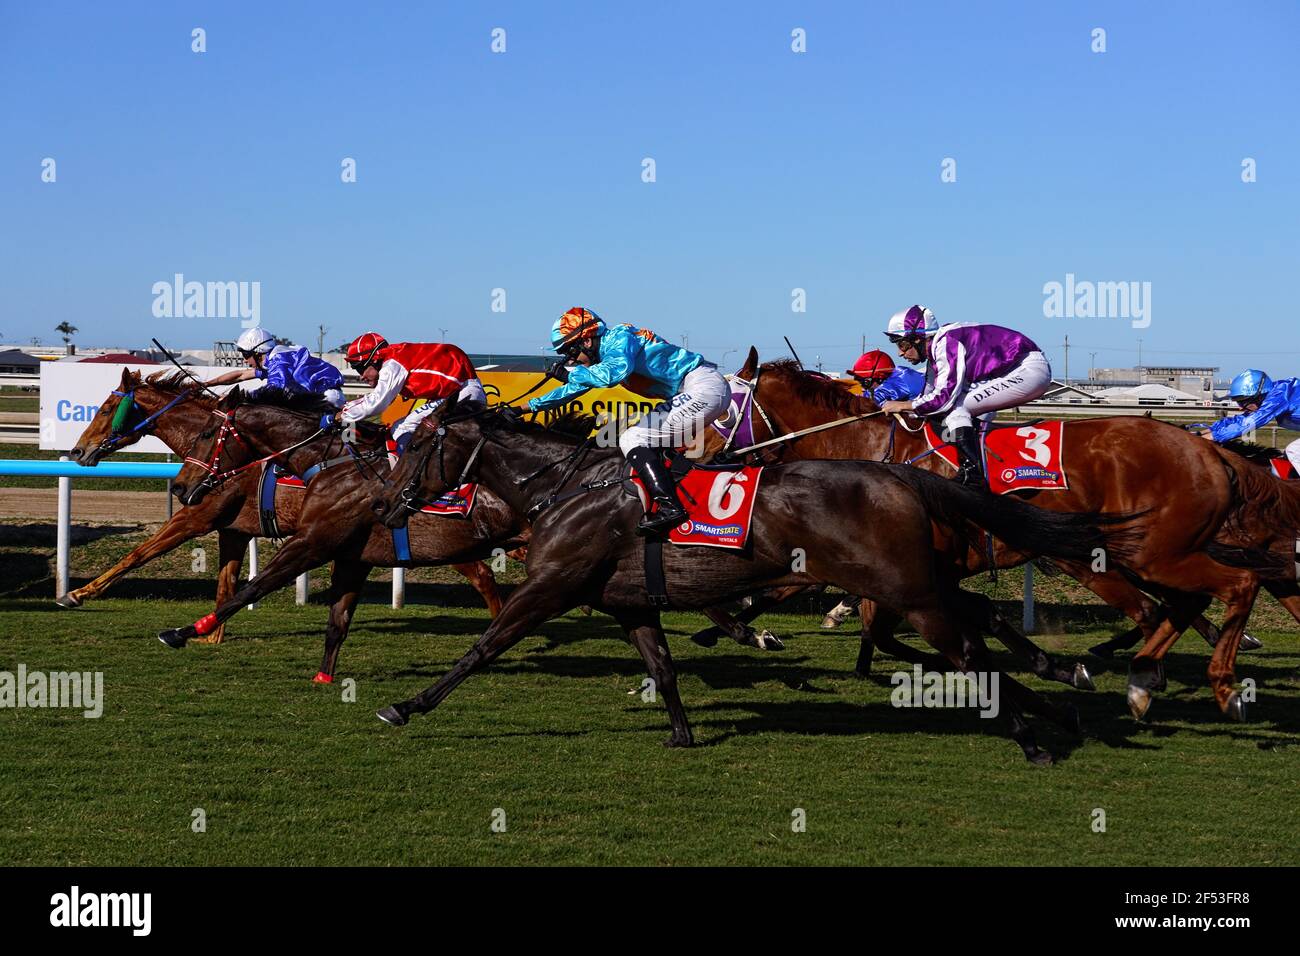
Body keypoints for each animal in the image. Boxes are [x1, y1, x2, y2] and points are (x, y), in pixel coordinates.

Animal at [367, 397, 1142, 764]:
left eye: (419, 443)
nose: (385, 503)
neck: (568, 488)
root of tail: (902, 474)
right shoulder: (628, 605)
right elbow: (663, 666)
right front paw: (682, 734)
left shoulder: (551, 587)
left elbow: (483, 647)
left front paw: (405, 706)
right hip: (918, 585)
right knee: (981, 624)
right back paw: (1060, 700)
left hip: (910, 592)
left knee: (972, 652)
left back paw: (1033, 734)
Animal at [713, 350, 1300, 720]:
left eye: (725, 413)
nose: (713, 461)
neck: (872, 451)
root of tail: (1209, 451)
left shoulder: (922, 570)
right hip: (1143, 551)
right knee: (1184, 602)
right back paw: (1146, 676)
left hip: (1148, 552)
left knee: (1223, 589)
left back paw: (1206, 683)